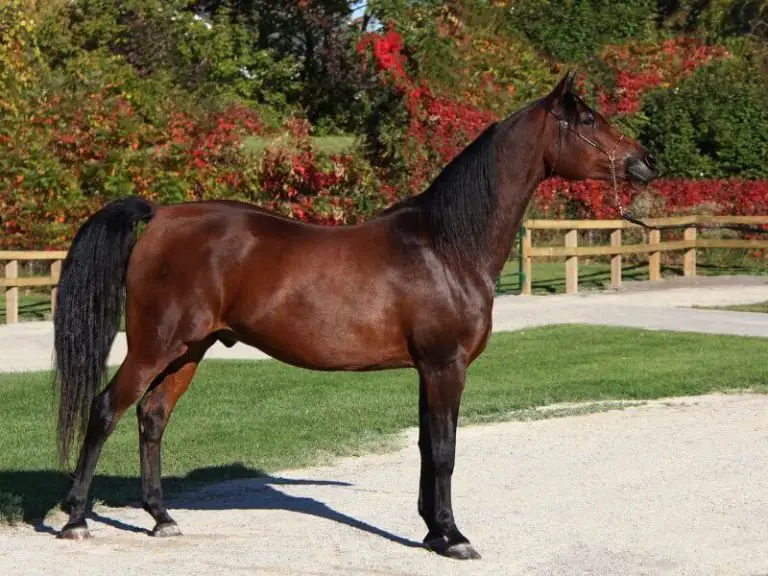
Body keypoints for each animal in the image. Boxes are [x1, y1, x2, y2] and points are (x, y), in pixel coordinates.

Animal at [52, 71, 657, 559]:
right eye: (589, 120)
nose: (645, 162)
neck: (447, 245)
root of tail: (160, 216)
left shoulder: (428, 369)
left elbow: (426, 445)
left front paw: (432, 532)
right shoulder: (446, 366)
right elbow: (444, 451)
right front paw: (454, 538)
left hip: (188, 351)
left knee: (152, 418)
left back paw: (162, 518)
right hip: (153, 346)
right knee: (105, 410)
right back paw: (76, 518)